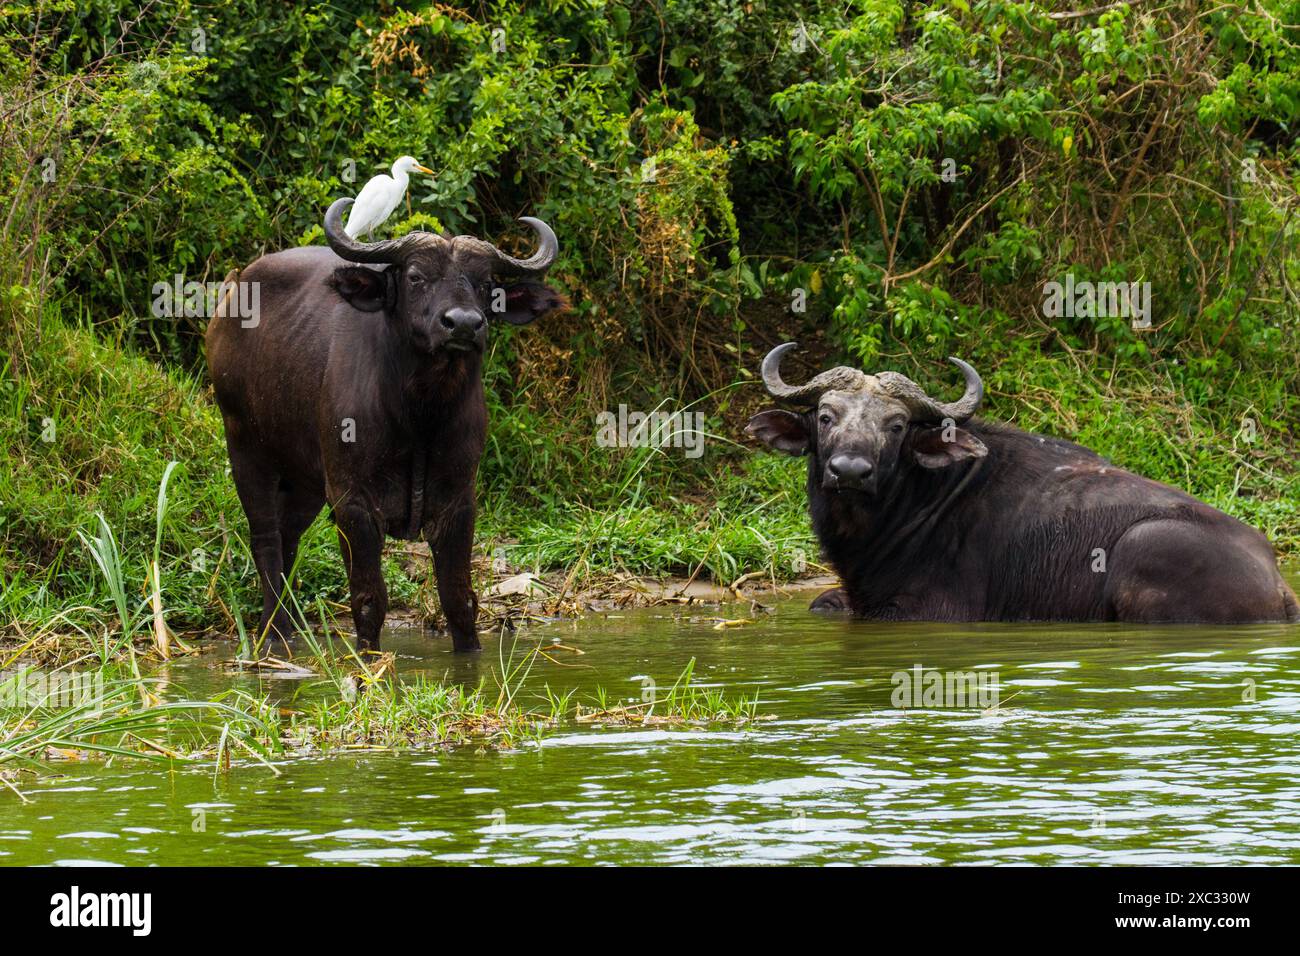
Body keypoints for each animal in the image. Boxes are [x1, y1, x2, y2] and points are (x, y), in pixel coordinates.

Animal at [206, 200, 564, 651]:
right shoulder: (352, 501)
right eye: (415, 277)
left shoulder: (459, 500)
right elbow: (368, 597)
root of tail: (231, 296)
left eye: (485, 283)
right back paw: (274, 634)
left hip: (306, 478)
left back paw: (292, 626)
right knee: (266, 540)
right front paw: (367, 657)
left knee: (289, 536)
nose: (464, 324)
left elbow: (459, 598)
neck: (421, 415)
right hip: (245, 448)